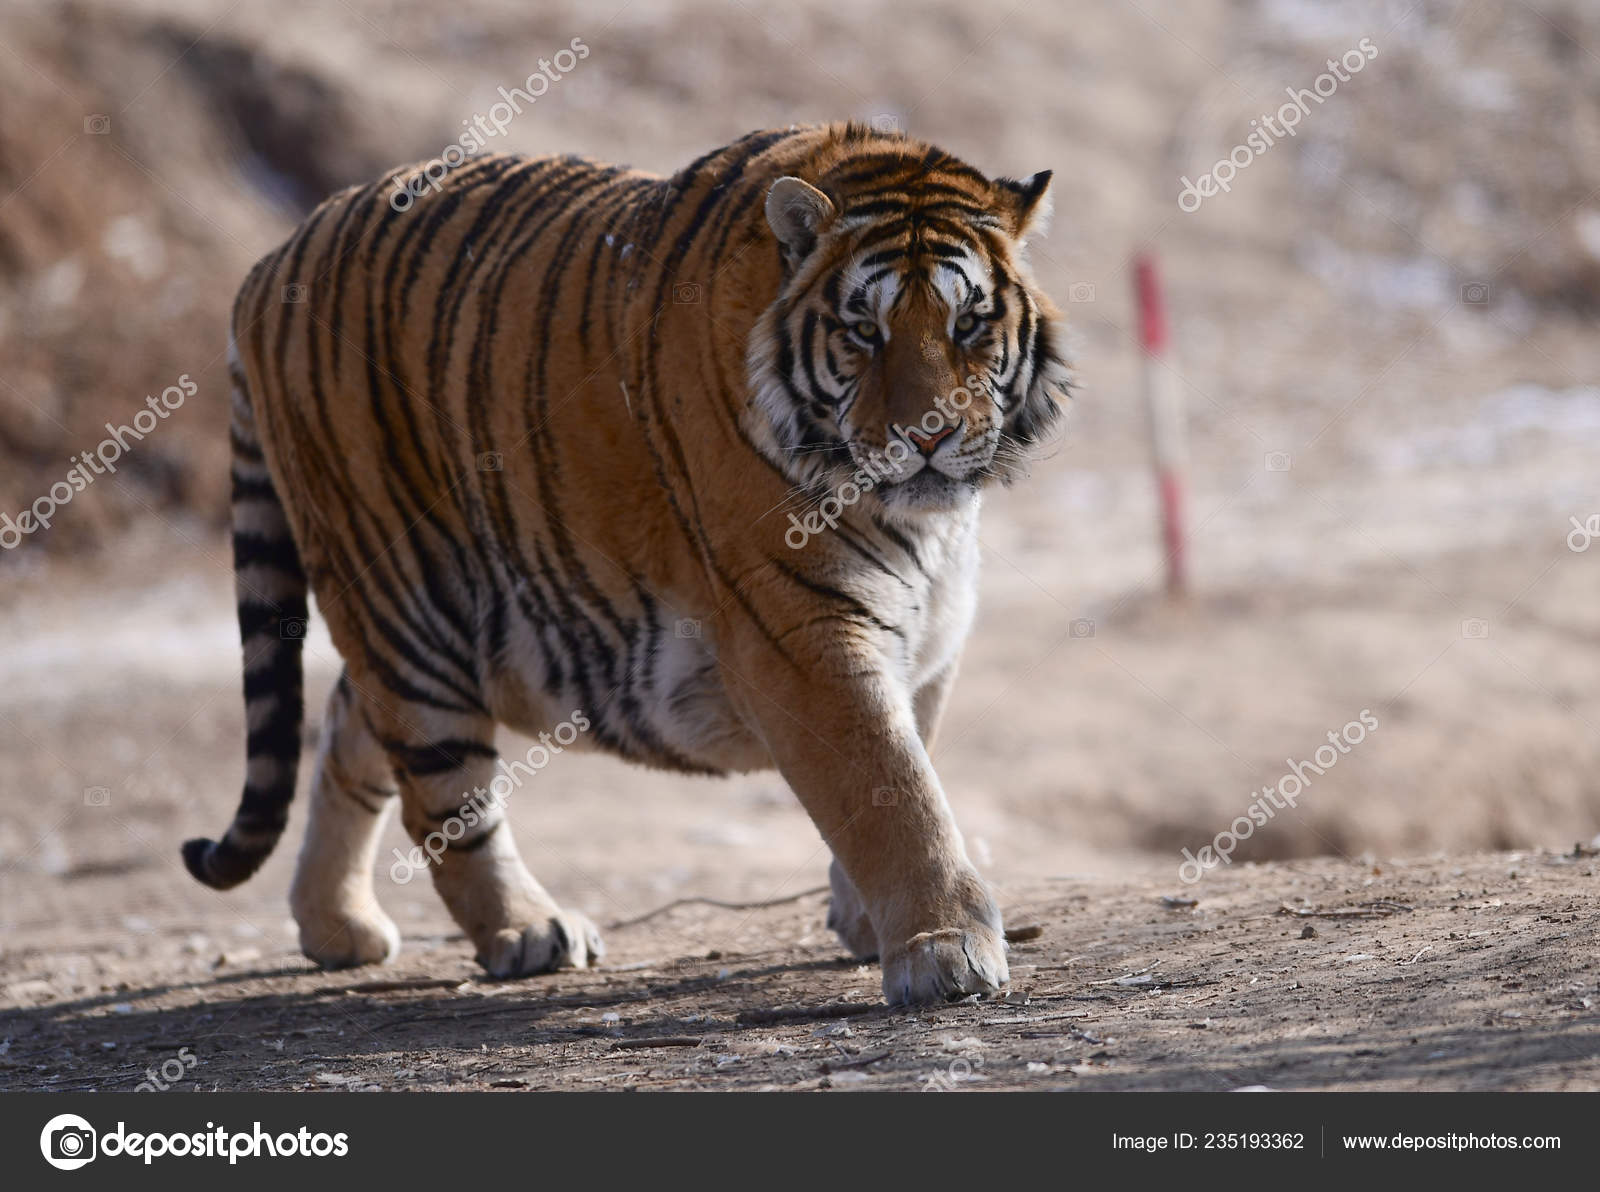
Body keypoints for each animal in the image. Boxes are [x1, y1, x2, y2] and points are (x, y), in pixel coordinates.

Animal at [182, 122, 1071, 1005]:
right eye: (864, 331)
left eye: (968, 326)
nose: (929, 435)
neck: (928, 528)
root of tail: (272, 261)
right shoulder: (803, 627)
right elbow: (893, 791)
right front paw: (944, 951)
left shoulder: (928, 635)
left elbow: (907, 758)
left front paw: (865, 924)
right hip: (405, 598)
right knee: (439, 795)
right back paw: (527, 929)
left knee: (346, 726)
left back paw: (338, 927)